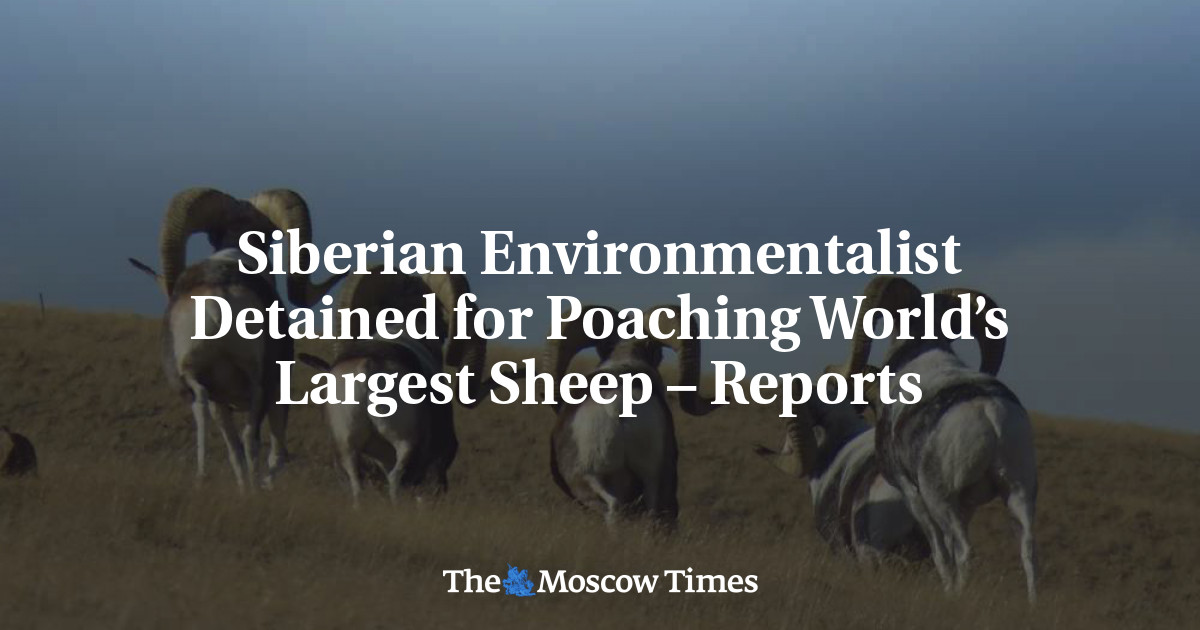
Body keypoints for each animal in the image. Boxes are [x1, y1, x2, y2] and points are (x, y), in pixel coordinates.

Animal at [130, 187, 343, 491]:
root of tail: (217, 296)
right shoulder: (277, 391)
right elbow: (275, 451)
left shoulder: (222, 402)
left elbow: (233, 450)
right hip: (259, 383)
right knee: (251, 438)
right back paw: (254, 486)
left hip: (193, 378)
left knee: (202, 408)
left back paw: (204, 476)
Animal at [831, 276, 1038, 602]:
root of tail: (989, 413)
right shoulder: (968, 505)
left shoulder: (912, 492)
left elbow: (941, 552)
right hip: (1019, 493)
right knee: (1028, 551)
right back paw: (1032, 605)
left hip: (941, 499)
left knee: (964, 551)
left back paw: (957, 596)